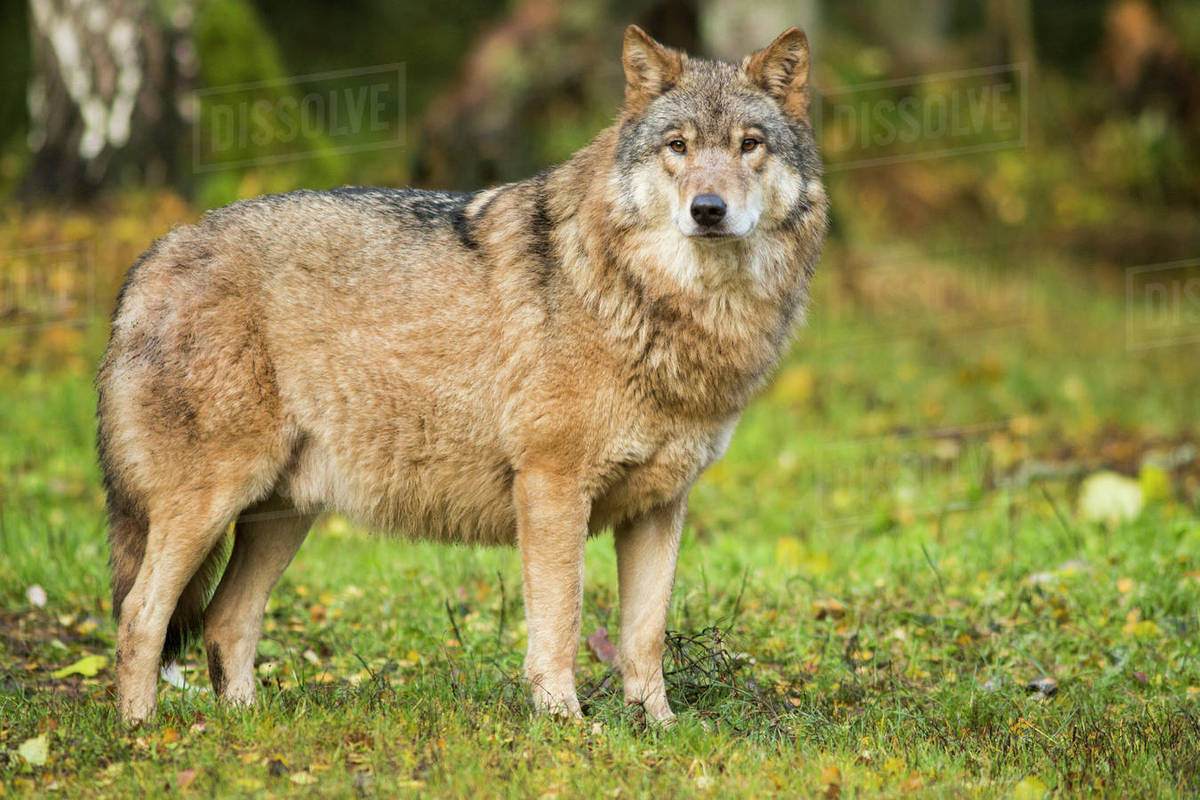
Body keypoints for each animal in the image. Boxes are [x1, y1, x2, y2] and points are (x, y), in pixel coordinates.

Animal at [97, 25, 827, 724]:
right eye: (678, 145)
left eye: (749, 145)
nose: (708, 209)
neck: (668, 309)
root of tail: (153, 257)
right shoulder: (552, 487)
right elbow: (560, 623)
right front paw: (565, 724)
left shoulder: (660, 505)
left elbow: (644, 638)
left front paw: (659, 729)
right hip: (211, 504)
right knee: (140, 617)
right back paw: (146, 737)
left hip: (282, 514)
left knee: (225, 622)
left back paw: (244, 731)